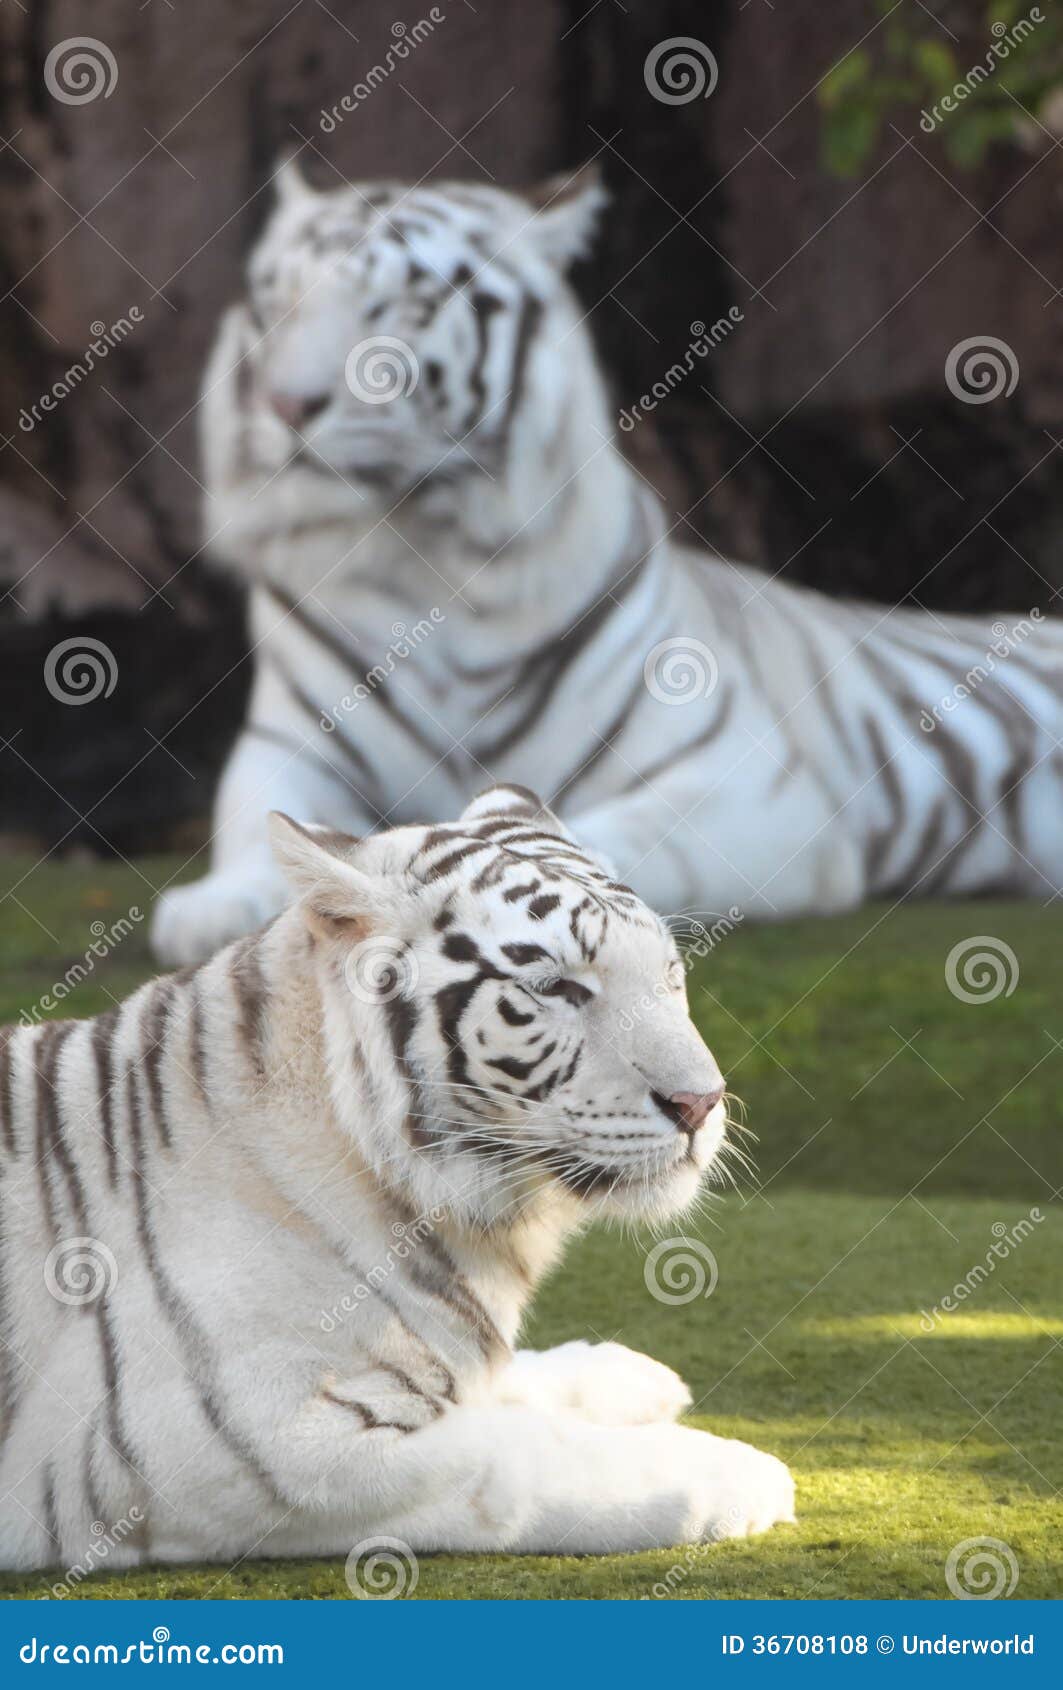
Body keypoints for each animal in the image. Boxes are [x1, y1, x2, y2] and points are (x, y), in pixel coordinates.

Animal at [0, 786, 794, 1573]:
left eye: (670, 975)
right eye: (556, 988)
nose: (700, 1102)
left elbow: (501, 1384)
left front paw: (630, 1375)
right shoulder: (232, 1448)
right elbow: (521, 1459)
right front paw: (742, 1472)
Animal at [151, 159, 1063, 968]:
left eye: (408, 303)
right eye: (276, 302)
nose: (284, 404)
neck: (420, 554)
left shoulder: (752, 784)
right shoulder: (289, 745)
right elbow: (261, 831)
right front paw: (209, 910)